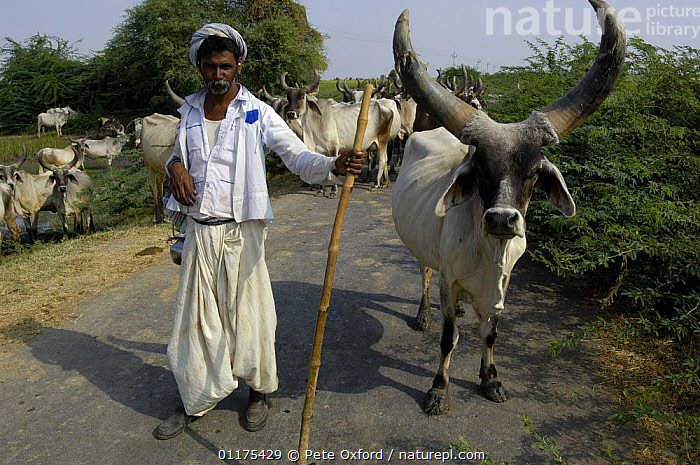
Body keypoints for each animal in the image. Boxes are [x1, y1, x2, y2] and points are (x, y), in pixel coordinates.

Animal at [391, 0, 625, 415]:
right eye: (480, 167)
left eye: (533, 172)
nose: (502, 219)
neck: (490, 252)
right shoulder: (450, 281)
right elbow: (449, 338)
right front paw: (438, 390)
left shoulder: (504, 282)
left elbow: (490, 334)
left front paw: (491, 379)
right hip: (425, 254)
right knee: (424, 275)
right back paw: (422, 314)